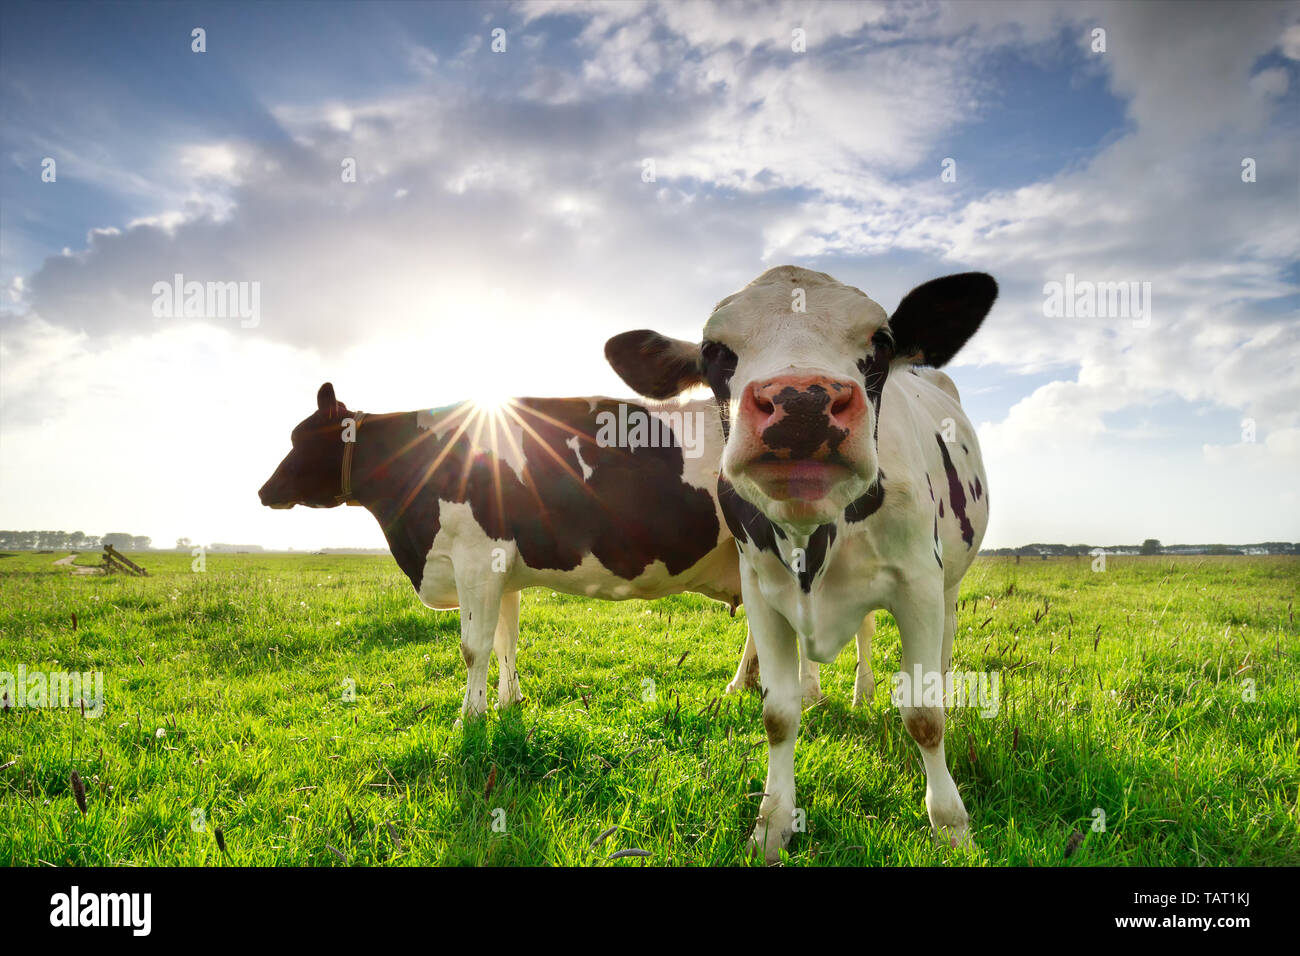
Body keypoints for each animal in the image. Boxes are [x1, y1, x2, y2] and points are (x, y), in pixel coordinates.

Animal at [605, 265, 996, 862]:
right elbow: (777, 714)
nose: (803, 405)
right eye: (713, 351)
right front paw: (772, 826)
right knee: (859, 633)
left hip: (948, 582)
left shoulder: (918, 584)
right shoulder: (762, 592)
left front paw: (951, 827)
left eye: (882, 341)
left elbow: (925, 716)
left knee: (939, 651)